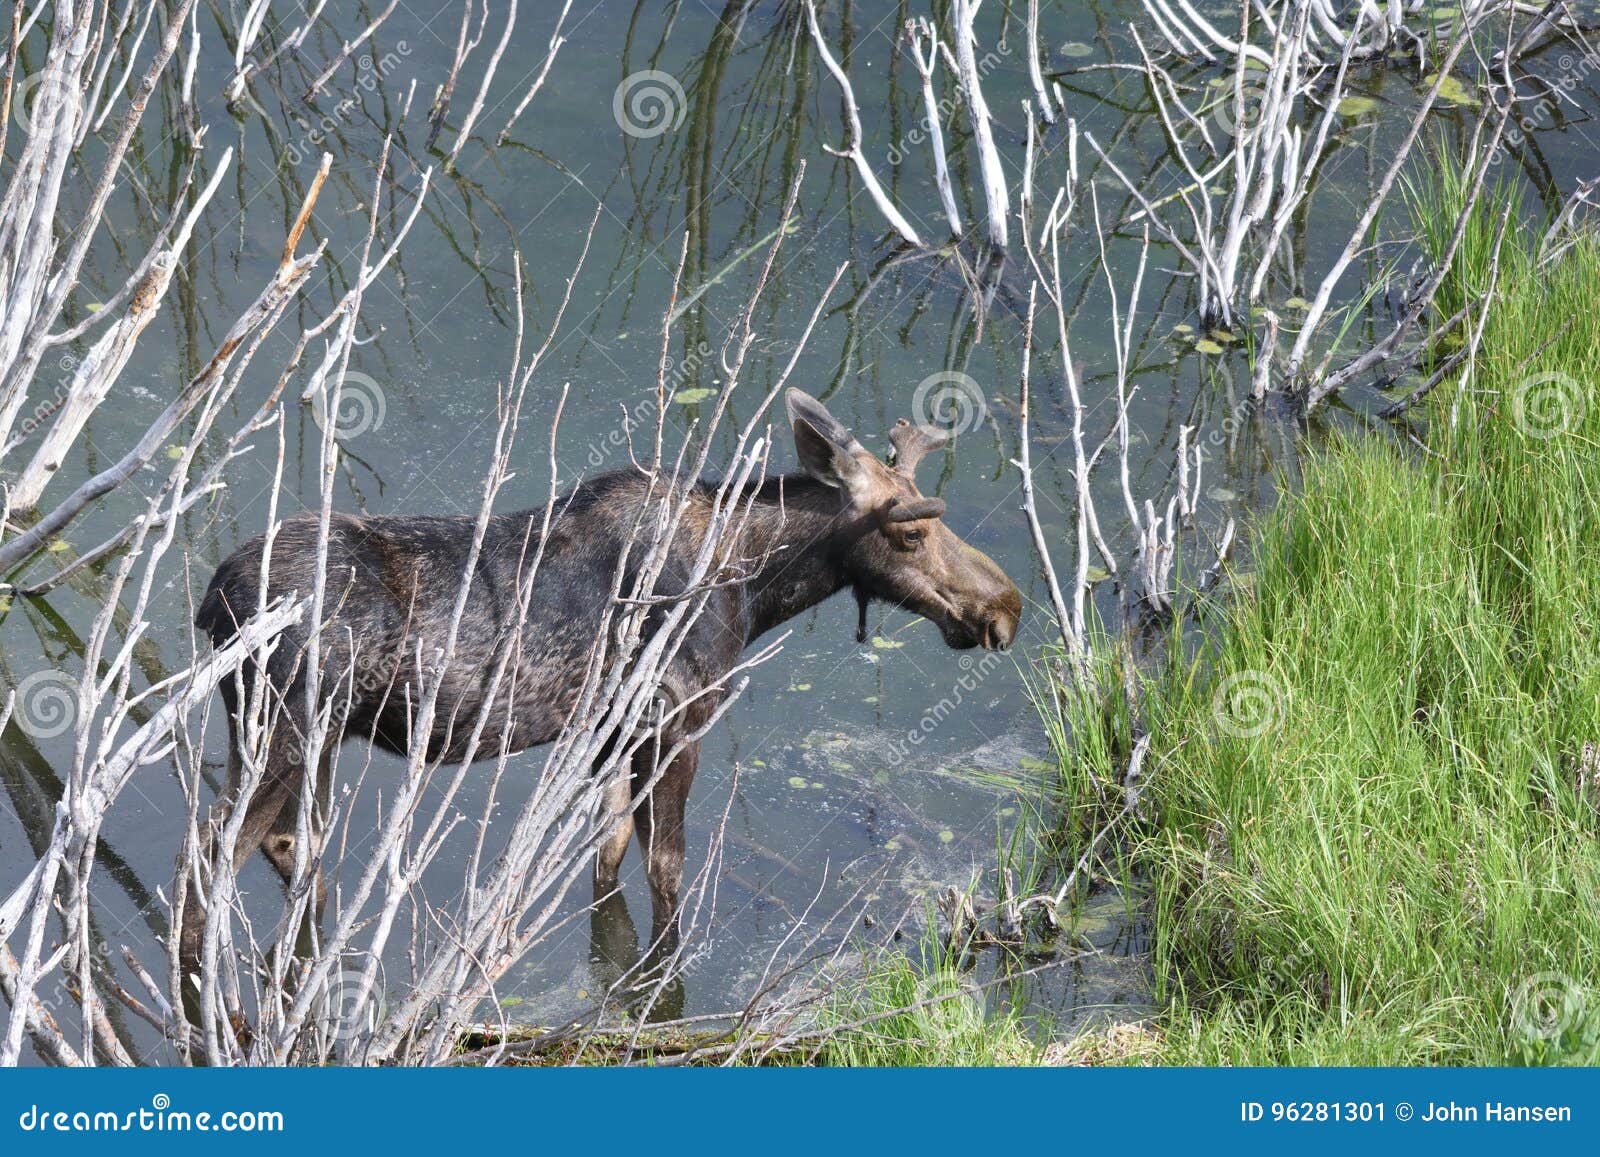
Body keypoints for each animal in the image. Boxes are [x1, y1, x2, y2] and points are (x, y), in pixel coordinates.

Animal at [178, 389, 1021, 996]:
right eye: (910, 532)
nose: (1004, 604)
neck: (753, 589)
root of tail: (211, 600)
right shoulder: (673, 719)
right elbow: (666, 871)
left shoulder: (612, 732)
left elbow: (607, 853)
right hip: (278, 727)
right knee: (211, 848)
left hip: (316, 739)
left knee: (293, 845)